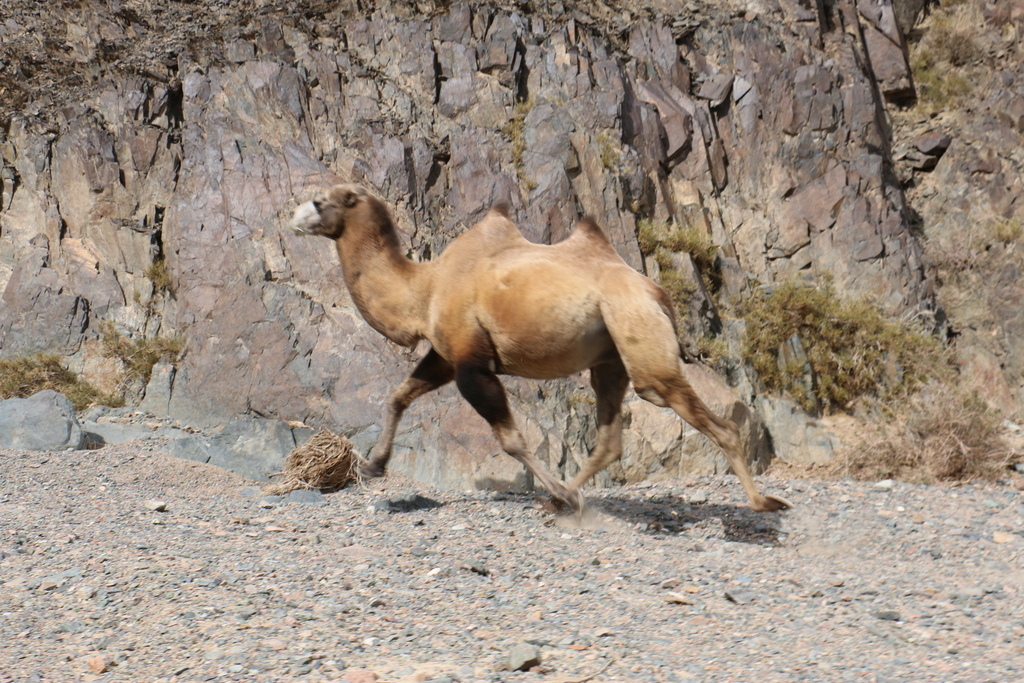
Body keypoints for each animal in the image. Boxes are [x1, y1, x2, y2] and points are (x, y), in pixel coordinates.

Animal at [290, 183, 789, 514]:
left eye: (320, 201)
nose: (294, 218)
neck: (422, 289)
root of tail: (656, 292)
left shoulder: (472, 364)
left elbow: (511, 439)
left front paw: (557, 489)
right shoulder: (448, 354)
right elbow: (398, 395)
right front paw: (374, 465)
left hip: (640, 339)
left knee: (714, 421)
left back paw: (761, 503)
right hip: (611, 357)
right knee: (610, 437)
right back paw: (568, 499)